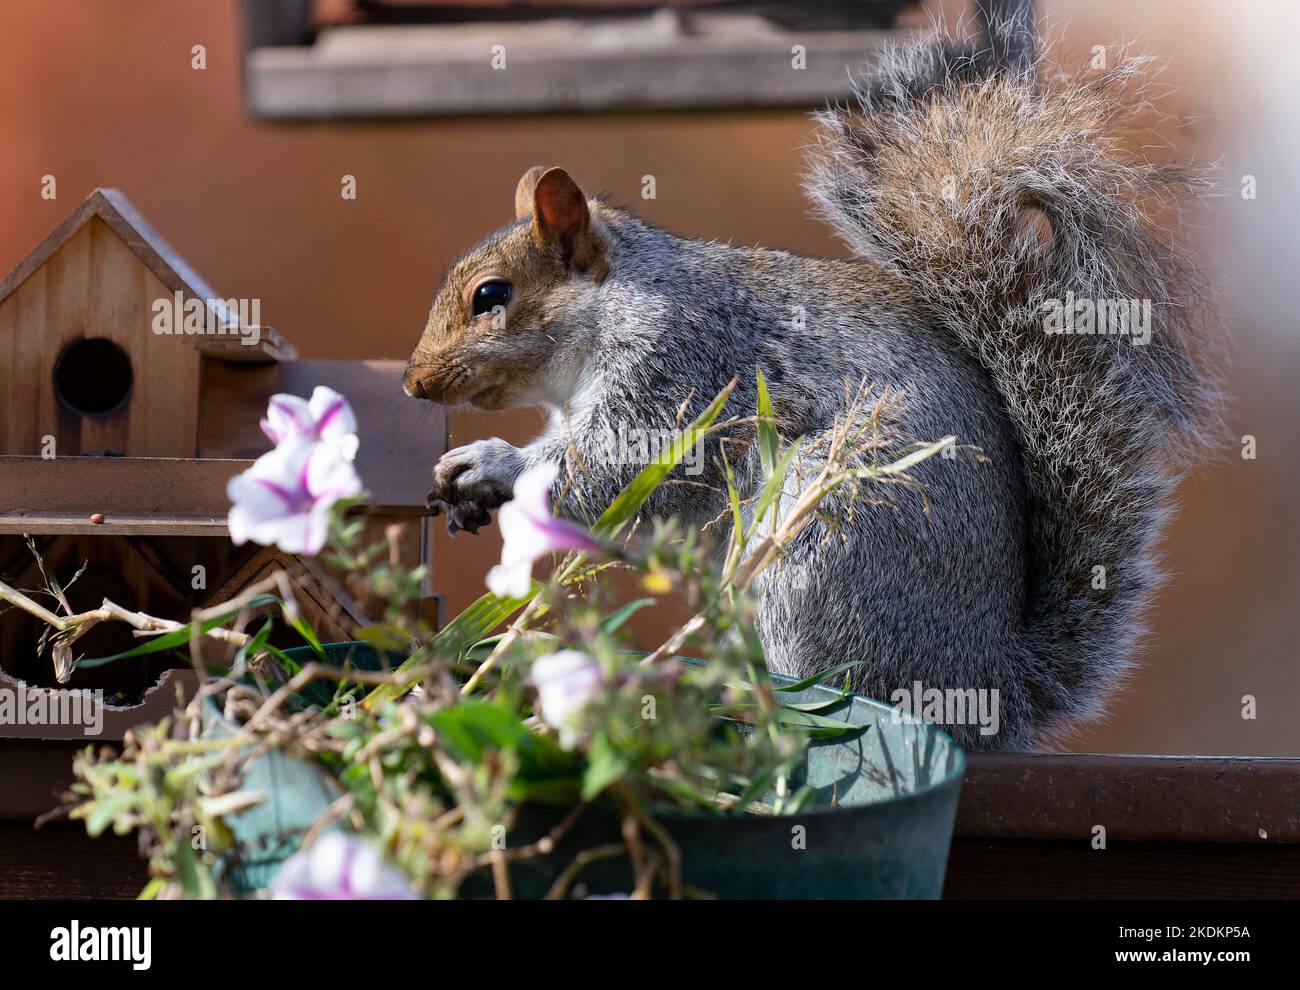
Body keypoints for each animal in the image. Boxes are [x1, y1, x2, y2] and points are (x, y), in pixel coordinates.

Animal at [402, 26, 1221, 751]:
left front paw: (491, 463)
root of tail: (986, 689)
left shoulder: (680, 368)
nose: (414, 384)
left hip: (826, 539)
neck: (619, 303)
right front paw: (465, 486)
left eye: (490, 296)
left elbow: (614, 470)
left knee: (842, 689)